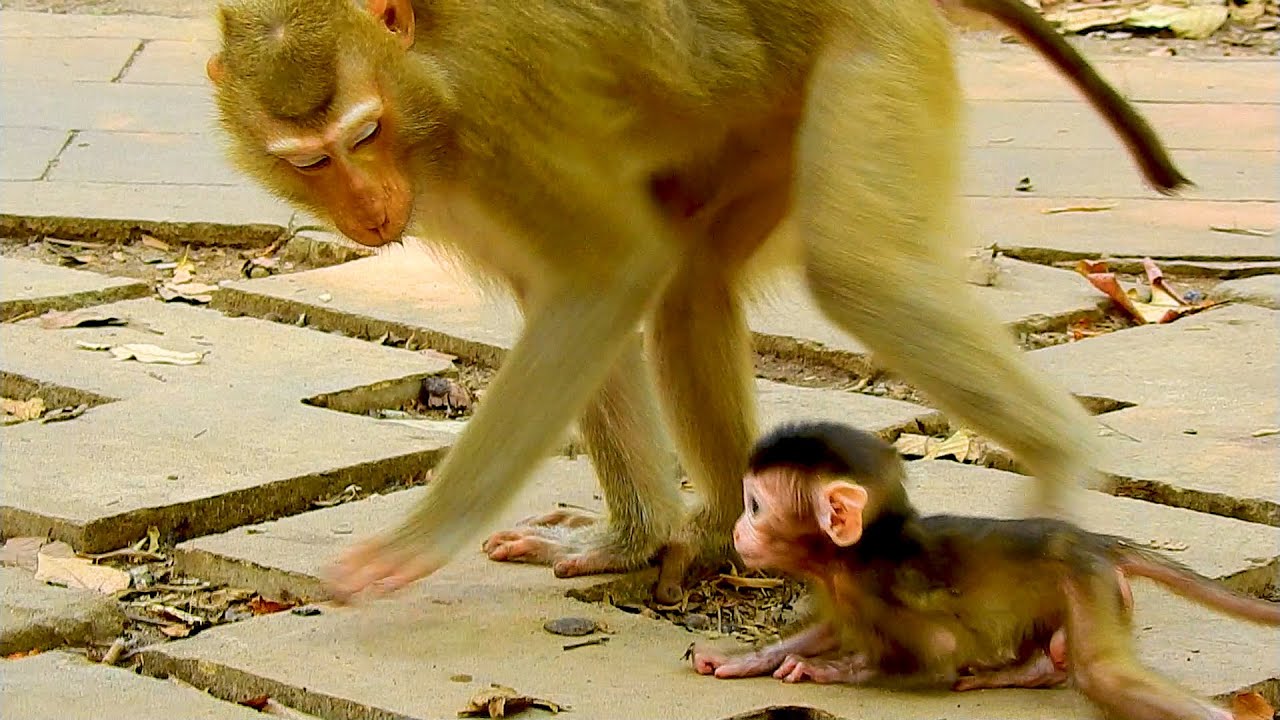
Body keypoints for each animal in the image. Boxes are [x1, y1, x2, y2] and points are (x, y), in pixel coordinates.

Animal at [205, 0, 1190, 605]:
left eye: (365, 133)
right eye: (311, 161)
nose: (367, 210)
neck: (426, 80)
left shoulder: (499, 112)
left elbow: (606, 272)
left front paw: (422, 539)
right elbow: (573, 294)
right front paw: (627, 544)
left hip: (874, 48)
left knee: (854, 275)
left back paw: (1059, 465)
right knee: (693, 282)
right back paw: (720, 529)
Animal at [690, 422, 1280, 720]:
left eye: (755, 506)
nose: (738, 530)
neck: (856, 553)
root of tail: (1089, 539)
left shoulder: (878, 588)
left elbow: (936, 655)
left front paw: (825, 670)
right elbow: (829, 629)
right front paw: (744, 658)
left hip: (1085, 582)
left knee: (1102, 674)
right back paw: (1029, 671)